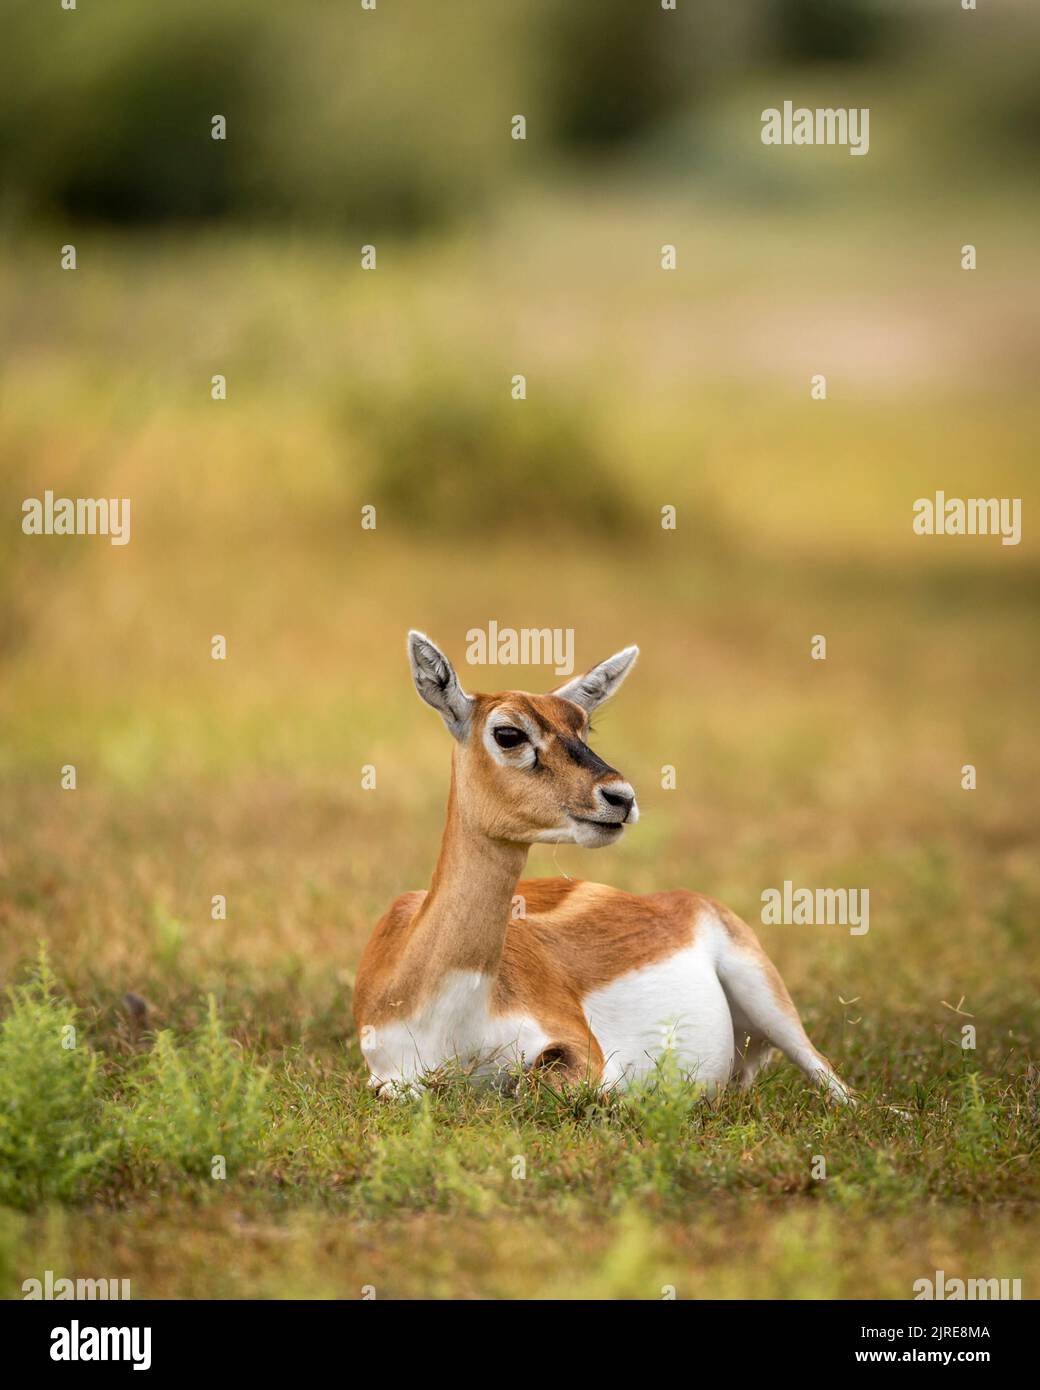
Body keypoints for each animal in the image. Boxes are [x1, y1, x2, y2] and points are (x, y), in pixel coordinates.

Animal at [353, 632, 851, 1103]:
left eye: (583, 726)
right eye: (508, 733)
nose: (621, 797)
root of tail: (677, 901)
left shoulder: (579, 1047)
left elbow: (544, 1084)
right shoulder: (385, 1073)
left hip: (767, 998)